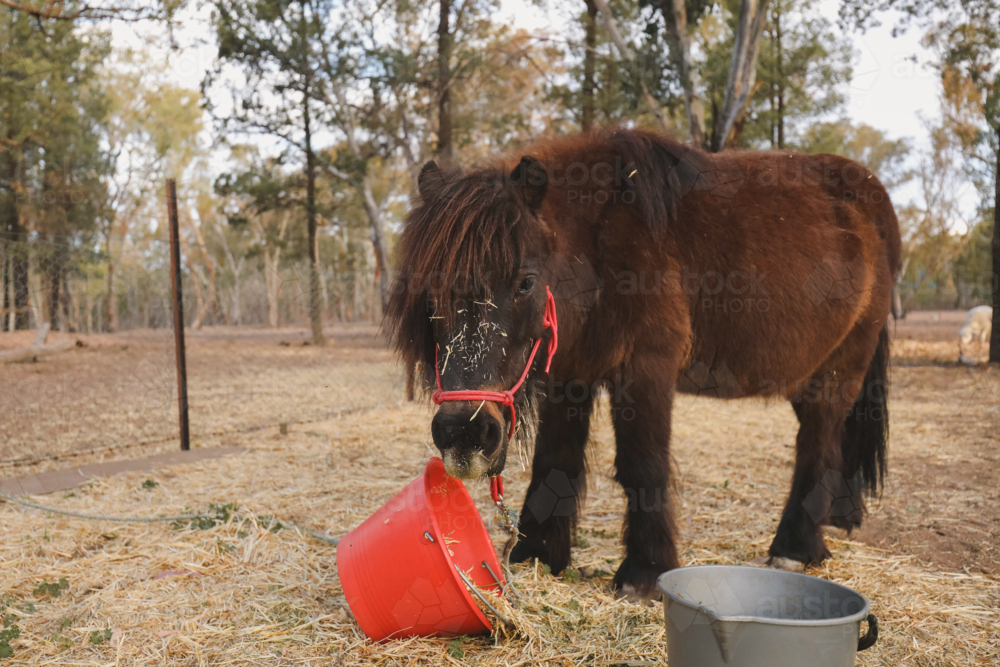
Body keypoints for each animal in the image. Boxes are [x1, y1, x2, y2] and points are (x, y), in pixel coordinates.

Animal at [385, 127, 901, 603]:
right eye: (427, 288)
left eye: (525, 282)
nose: (464, 433)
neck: (599, 246)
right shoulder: (570, 375)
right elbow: (555, 461)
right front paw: (537, 556)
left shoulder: (644, 370)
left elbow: (642, 465)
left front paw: (645, 573)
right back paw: (840, 518)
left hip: (840, 370)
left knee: (818, 444)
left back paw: (795, 547)